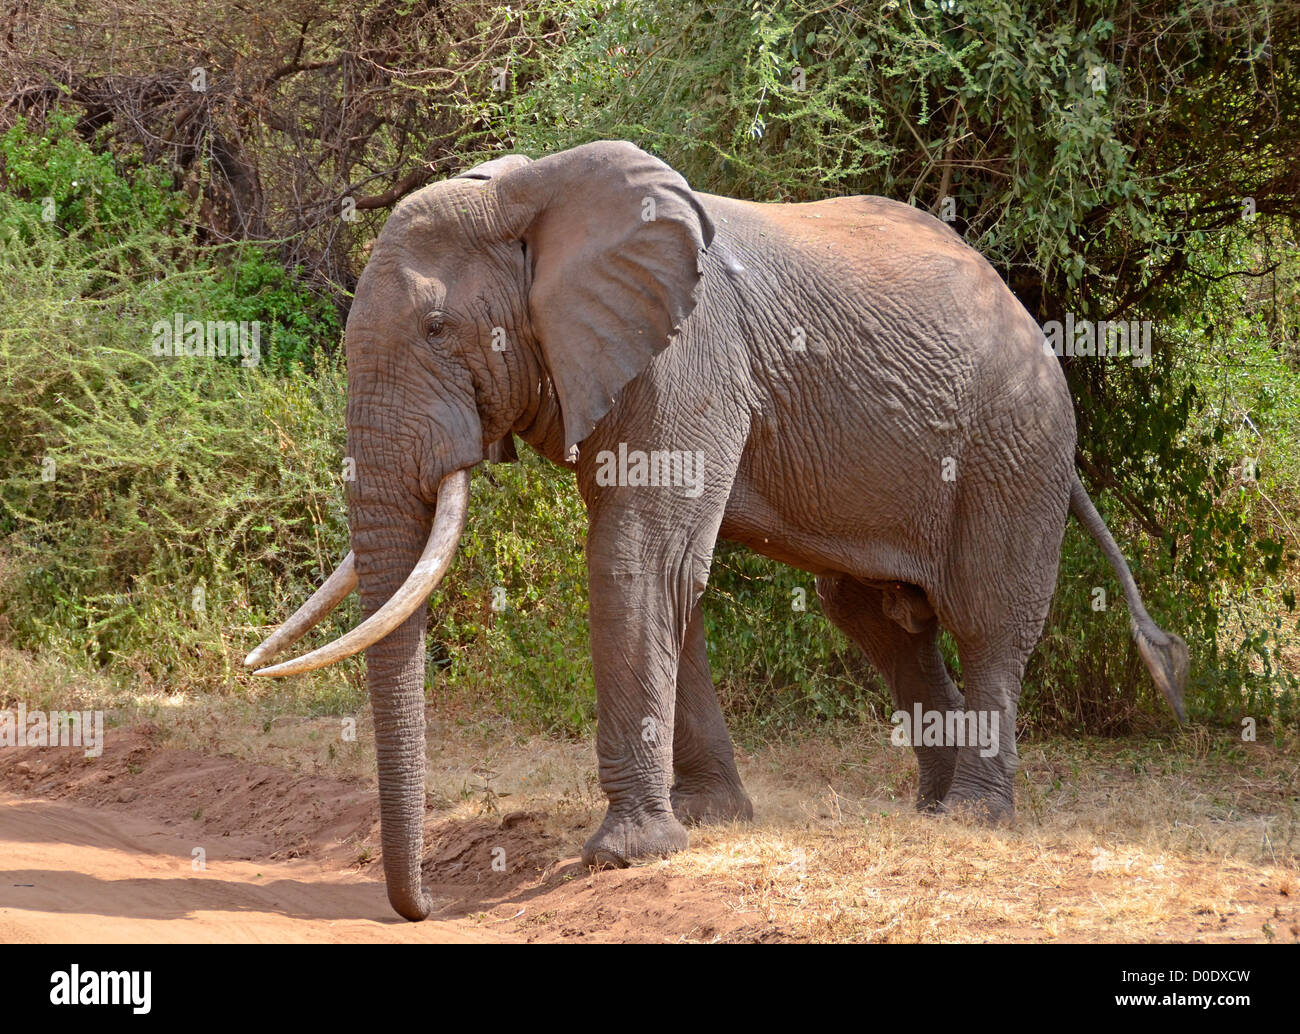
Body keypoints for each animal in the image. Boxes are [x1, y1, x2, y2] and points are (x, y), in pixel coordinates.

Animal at [244, 140, 1188, 921]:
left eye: (438, 330)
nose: (428, 906)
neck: (531, 192)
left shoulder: (687, 354)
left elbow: (636, 560)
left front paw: (627, 857)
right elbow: (671, 577)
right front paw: (707, 821)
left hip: (1016, 442)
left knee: (986, 618)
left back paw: (972, 821)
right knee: (877, 620)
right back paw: (931, 808)